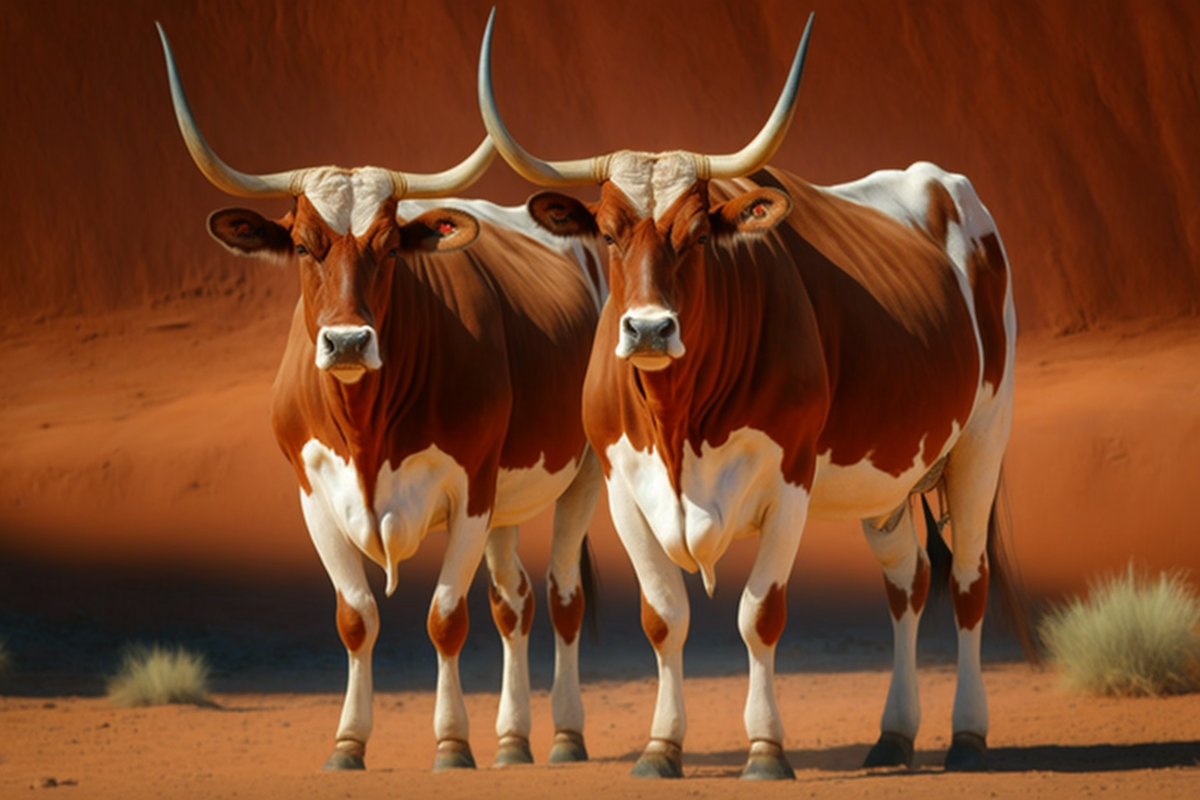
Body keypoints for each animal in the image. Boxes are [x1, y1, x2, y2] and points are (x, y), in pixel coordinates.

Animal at [156, 24, 605, 771]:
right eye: (302, 245)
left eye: (391, 246)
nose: (346, 342)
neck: (366, 425)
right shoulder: (313, 493)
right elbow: (356, 617)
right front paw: (348, 741)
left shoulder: (470, 491)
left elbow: (445, 617)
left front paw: (451, 742)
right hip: (508, 502)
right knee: (511, 602)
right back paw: (513, 739)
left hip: (582, 475)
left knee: (561, 596)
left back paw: (567, 735)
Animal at [478, 10, 1018, 779]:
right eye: (608, 233)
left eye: (699, 232)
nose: (648, 328)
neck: (677, 421)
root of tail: (939, 183)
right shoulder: (620, 487)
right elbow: (664, 617)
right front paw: (661, 746)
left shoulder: (790, 481)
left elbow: (759, 615)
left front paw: (765, 747)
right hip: (887, 477)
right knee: (907, 582)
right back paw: (894, 734)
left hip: (982, 442)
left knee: (970, 582)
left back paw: (968, 736)